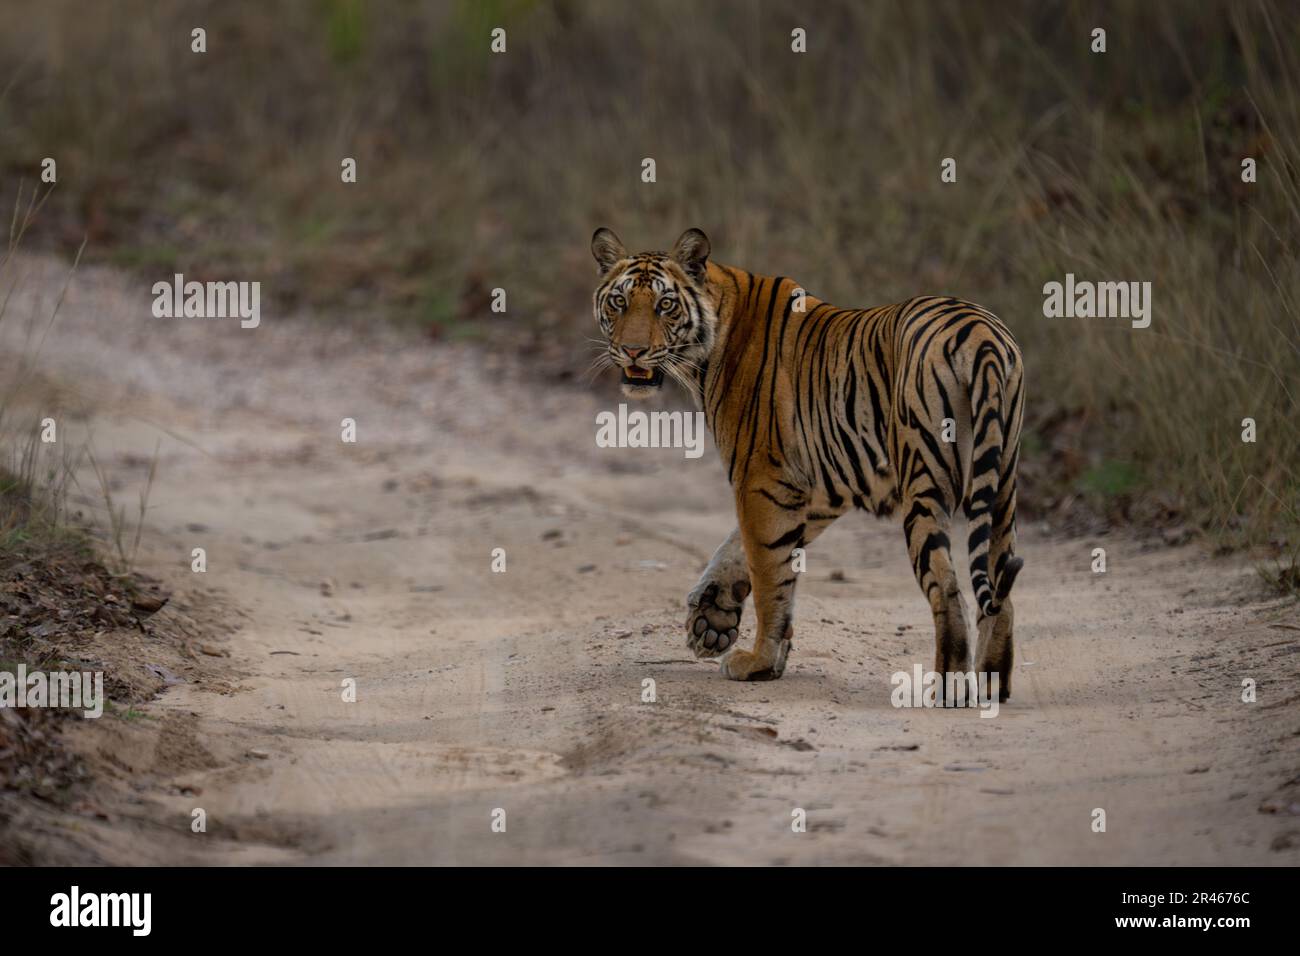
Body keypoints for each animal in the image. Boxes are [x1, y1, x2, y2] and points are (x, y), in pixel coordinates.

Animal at [590, 227, 1024, 699]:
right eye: (619, 301)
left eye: (665, 304)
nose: (632, 351)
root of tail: (980, 335)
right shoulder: (818, 489)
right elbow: (743, 552)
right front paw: (713, 619)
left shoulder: (761, 481)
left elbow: (767, 573)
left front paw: (757, 661)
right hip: (1001, 489)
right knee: (1000, 588)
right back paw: (991, 681)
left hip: (924, 487)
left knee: (946, 586)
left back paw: (947, 685)